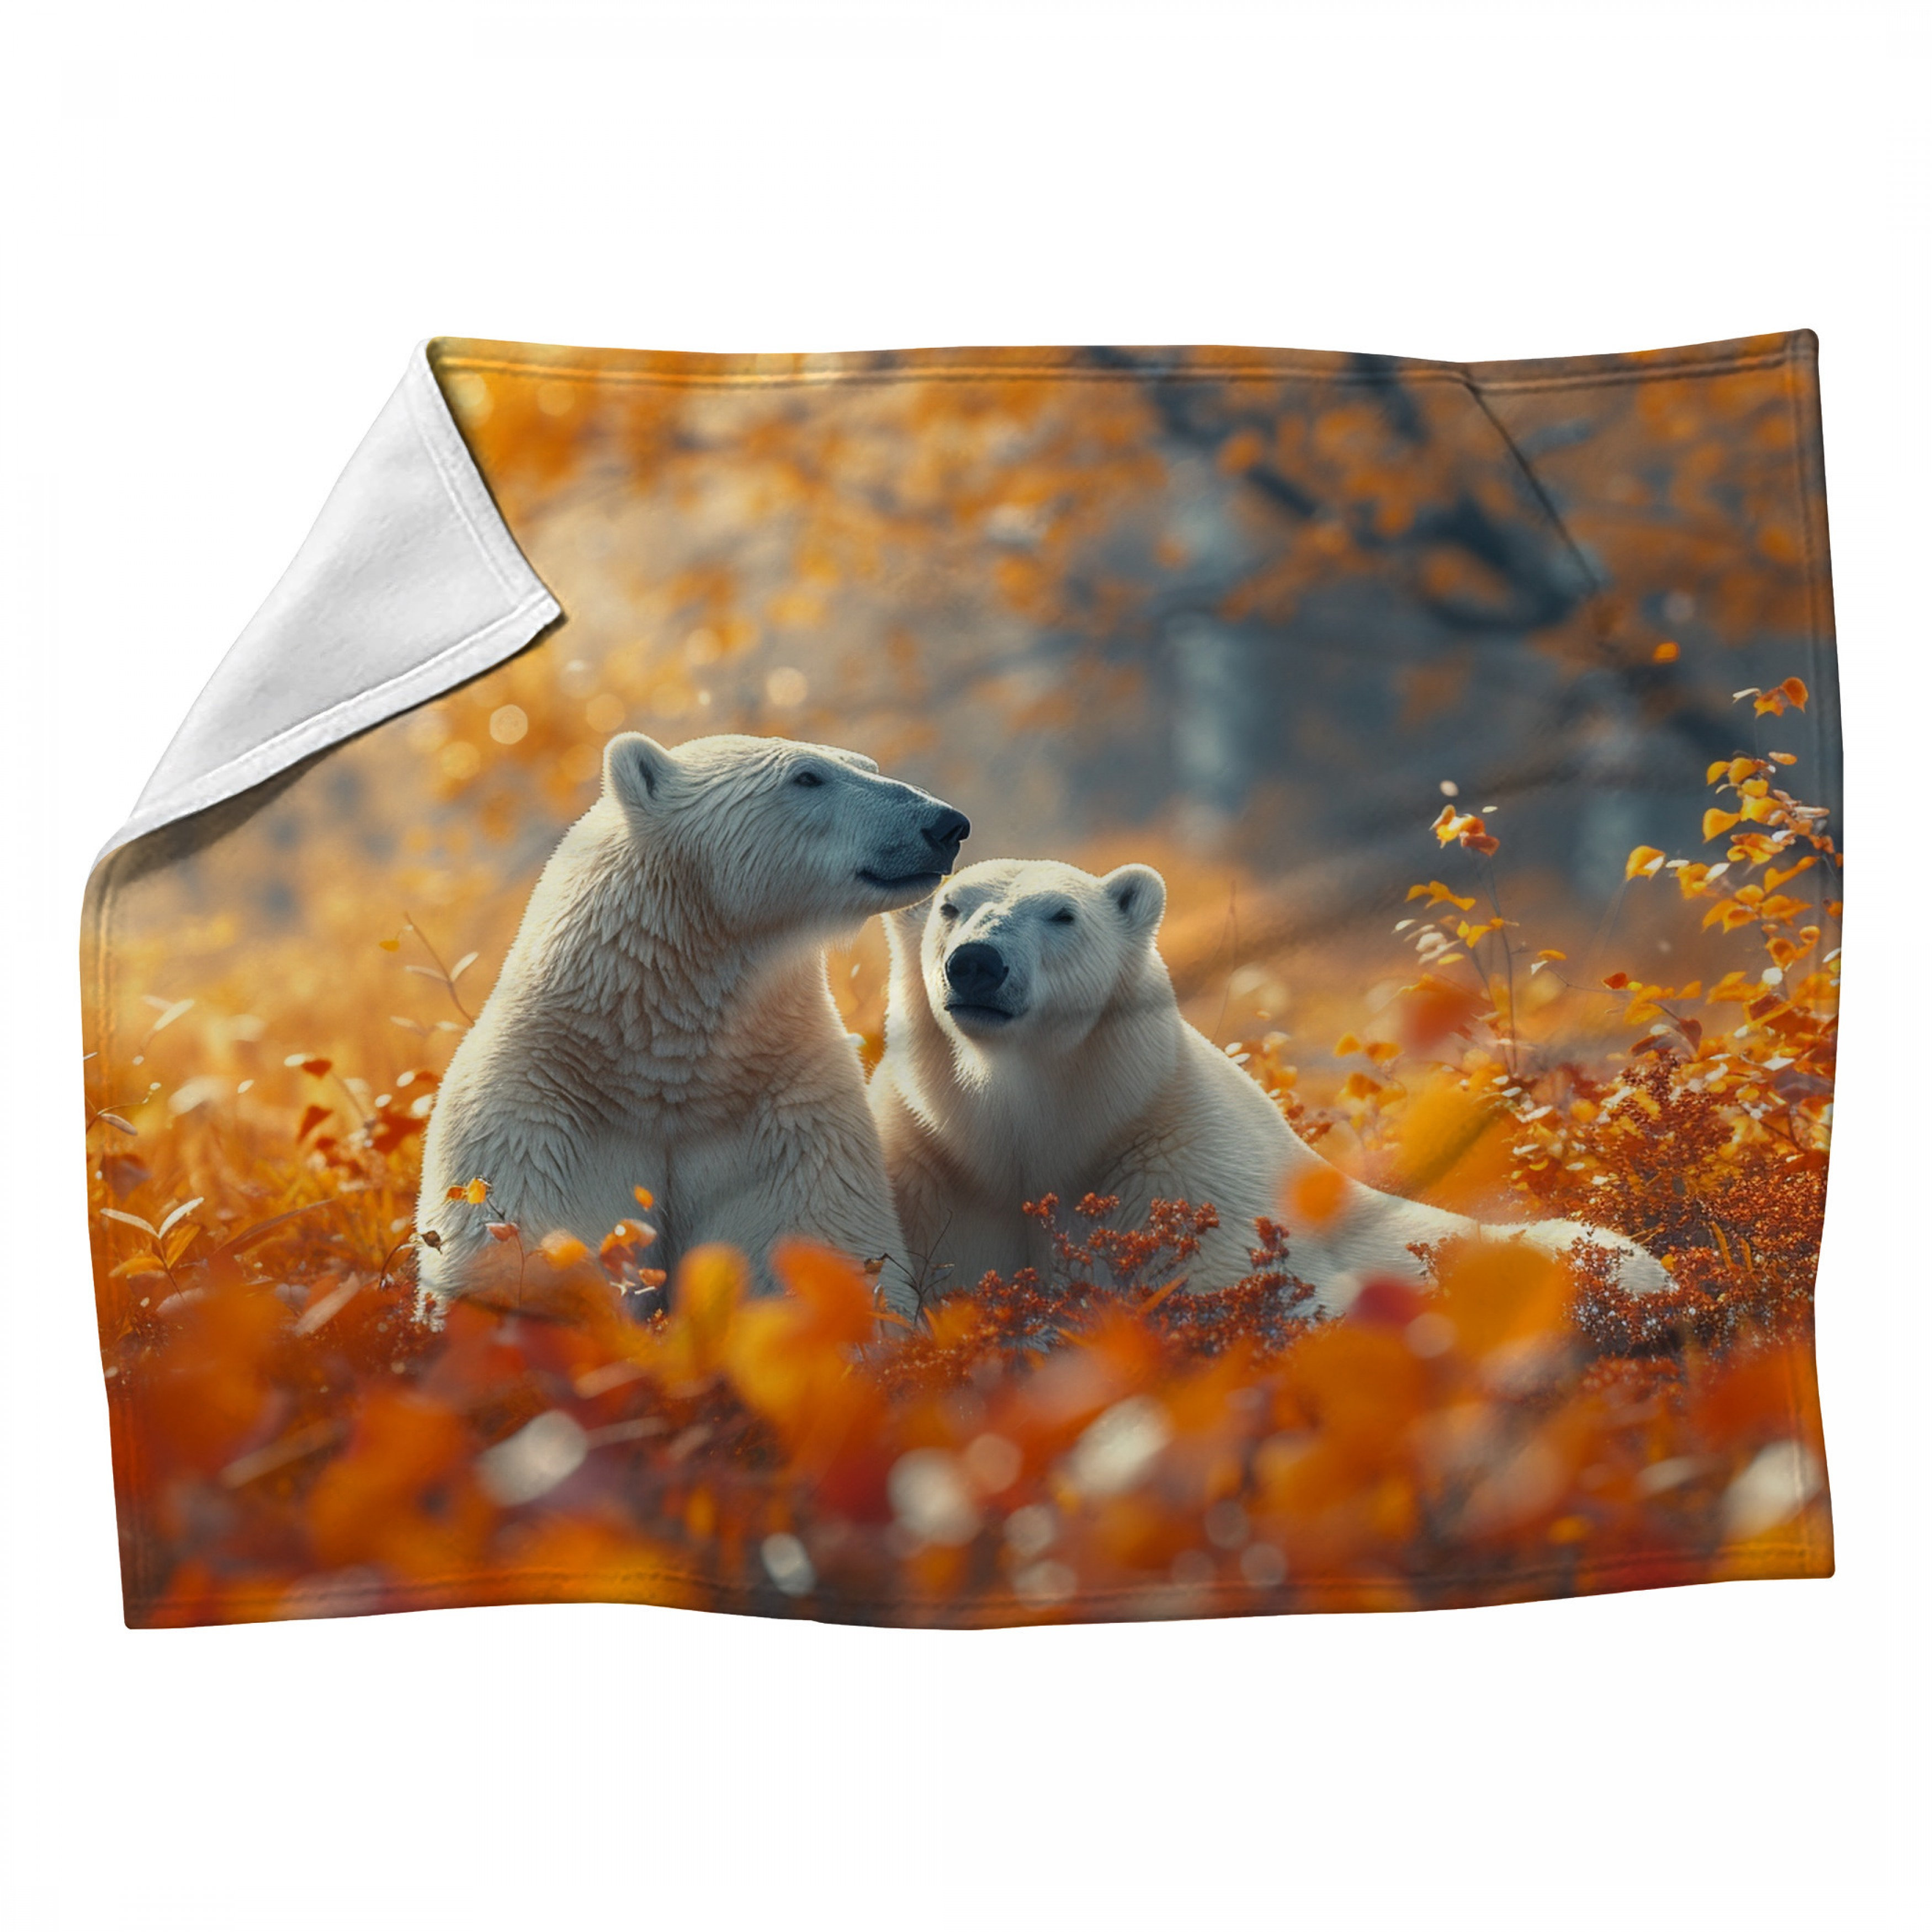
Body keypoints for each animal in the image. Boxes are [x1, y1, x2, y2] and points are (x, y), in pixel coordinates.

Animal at [417, 732, 969, 1317]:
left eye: (868, 765)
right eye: (807, 776)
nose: (946, 824)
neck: (663, 1062)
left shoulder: (788, 1114)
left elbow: (827, 1241)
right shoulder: (537, 1113)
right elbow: (518, 1262)